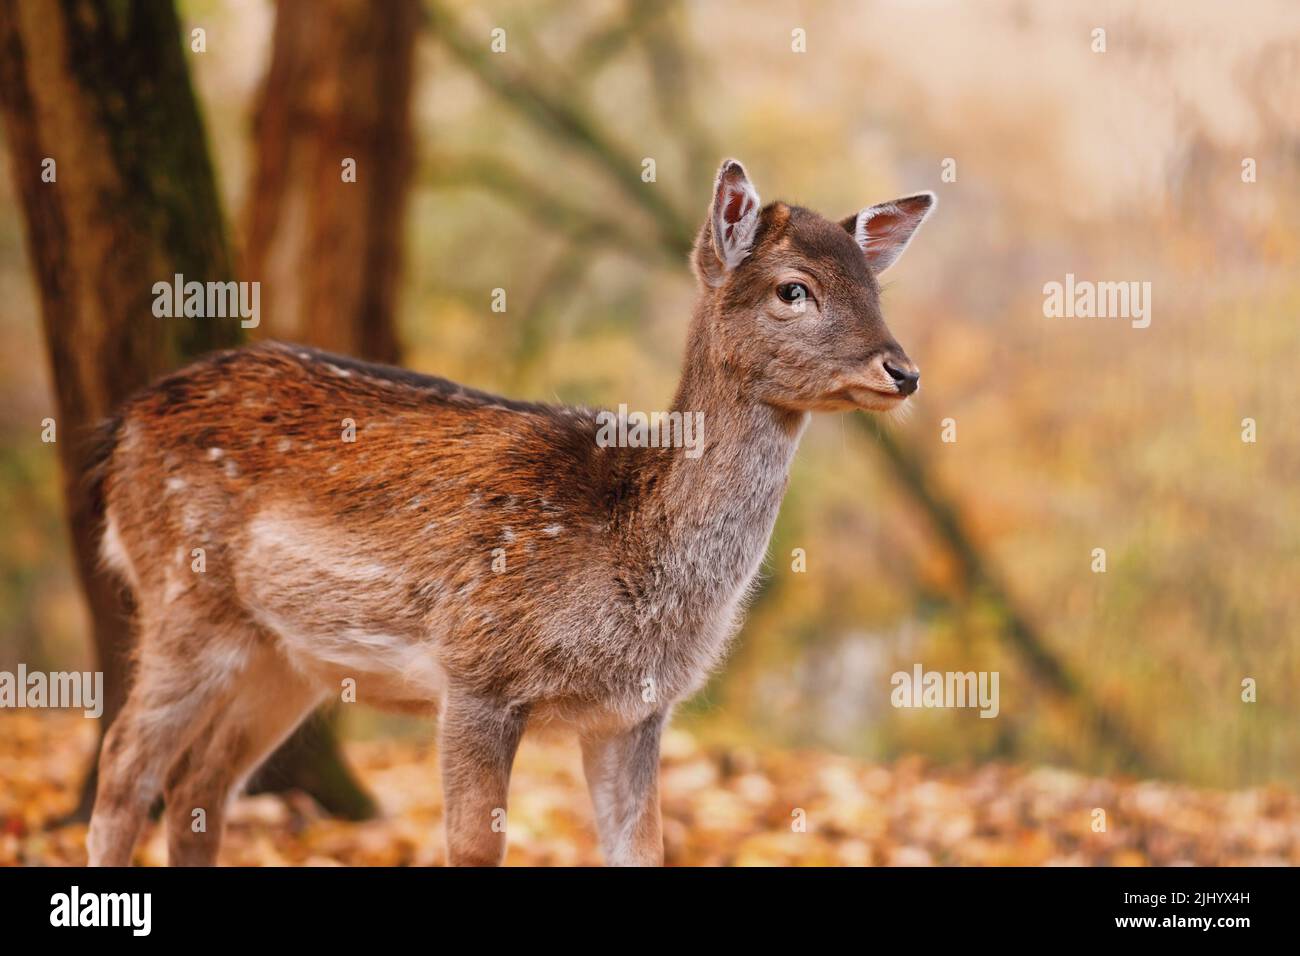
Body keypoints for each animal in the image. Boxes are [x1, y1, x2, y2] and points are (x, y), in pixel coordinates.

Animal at [84, 159, 934, 867]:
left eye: (874, 289)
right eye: (794, 288)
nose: (903, 370)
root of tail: (123, 427)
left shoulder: (634, 714)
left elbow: (641, 852)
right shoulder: (476, 671)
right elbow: (472, 849)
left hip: (286, 658)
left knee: (199, 785)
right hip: (184, 598)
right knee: (125, 771)